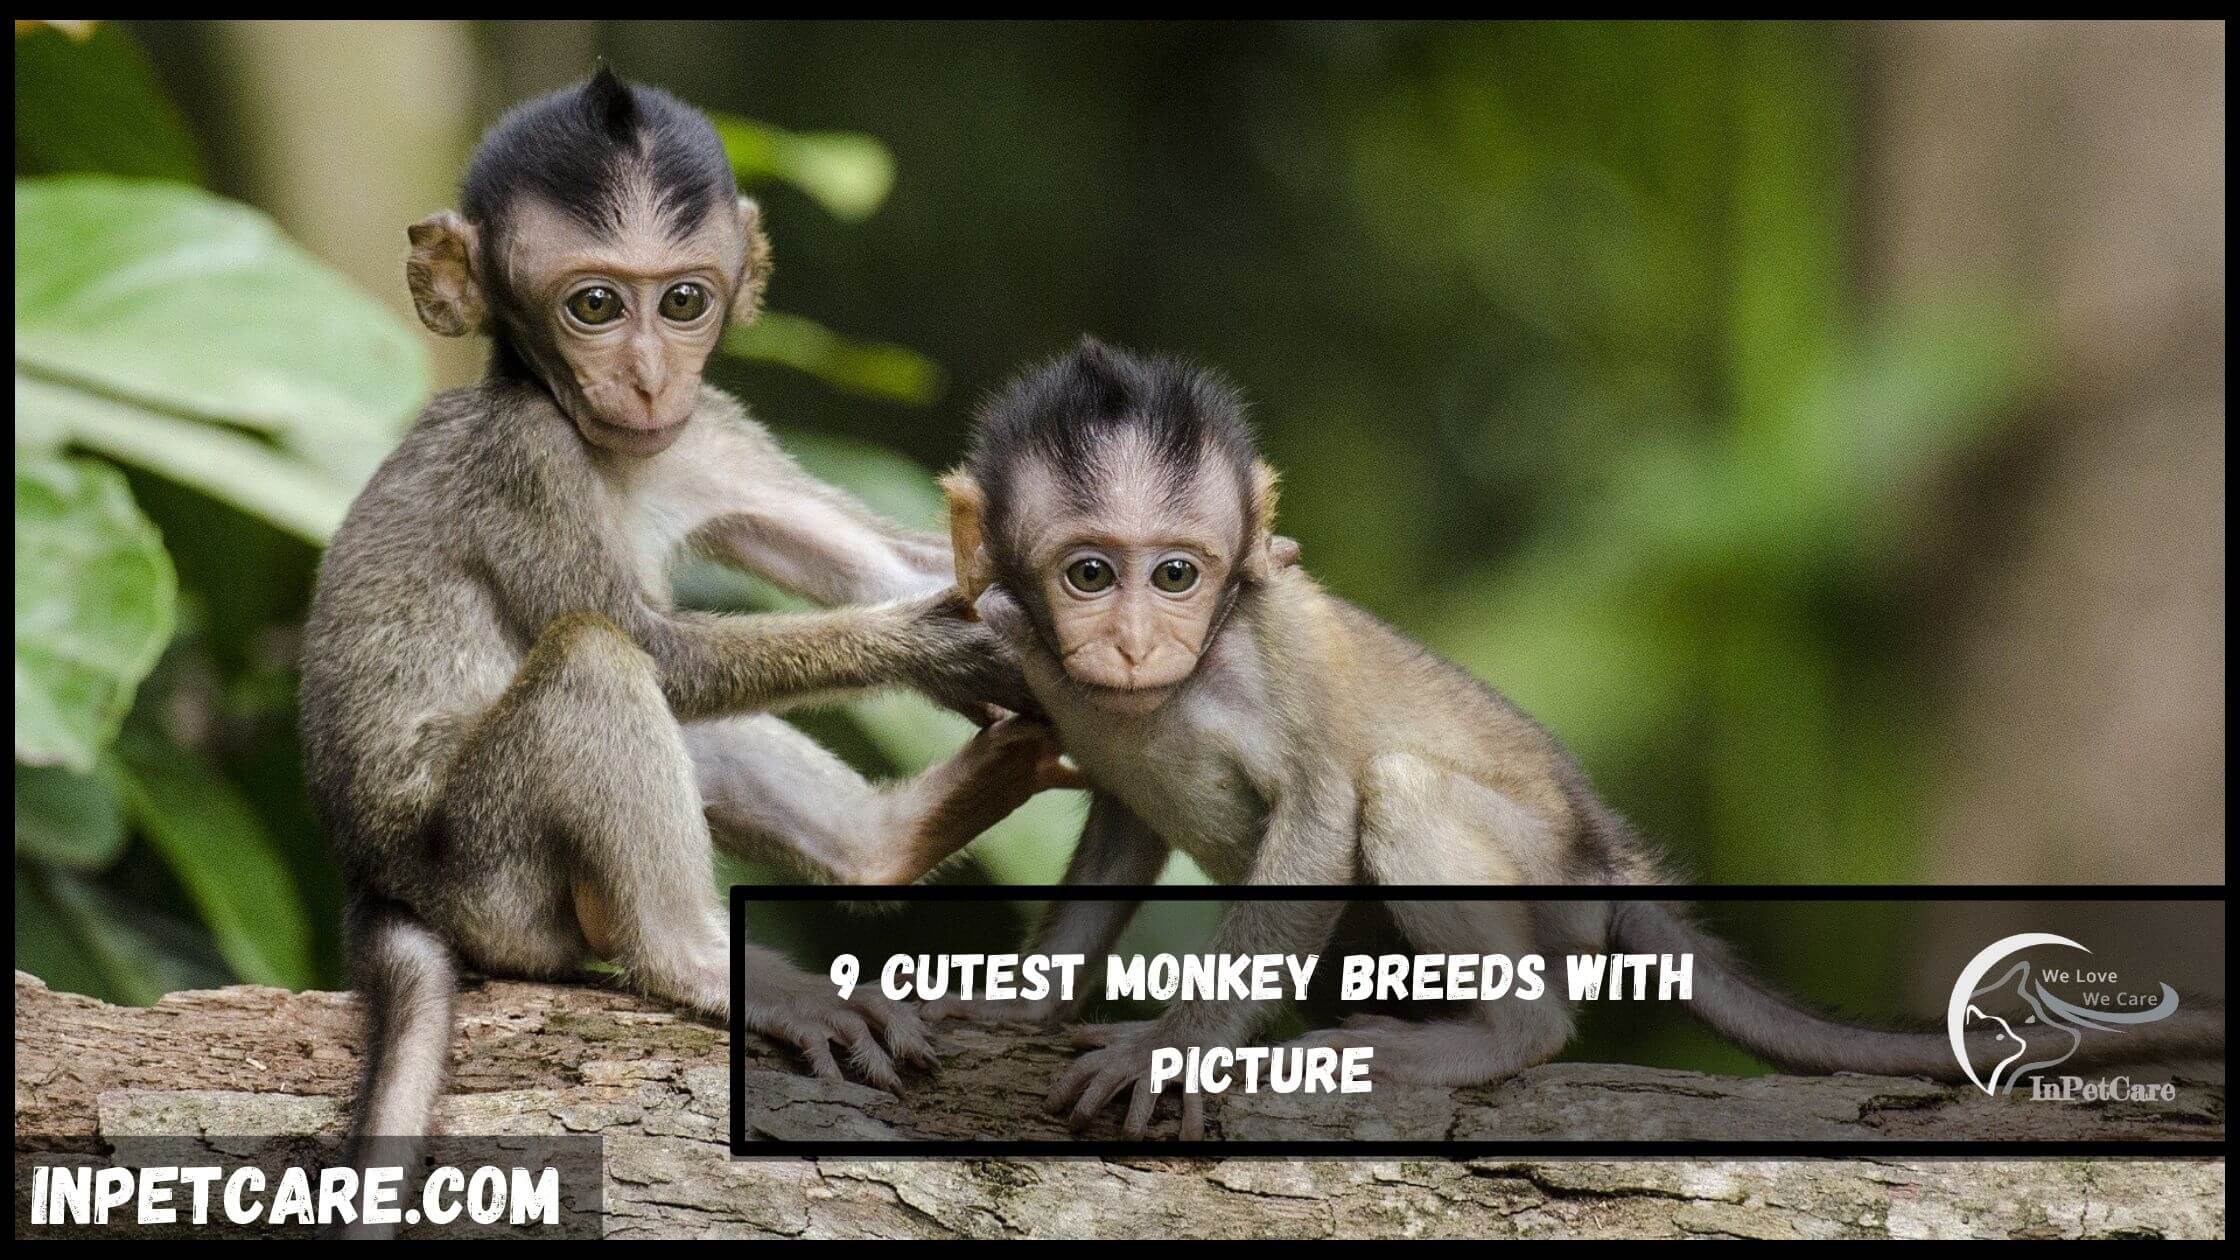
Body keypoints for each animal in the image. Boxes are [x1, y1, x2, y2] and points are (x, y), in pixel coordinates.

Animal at [298, 69, 1072, 1205]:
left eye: (681, 301)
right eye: (593, 305)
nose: (648, 377)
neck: (607, 448)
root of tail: (377, 883)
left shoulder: (706, 432)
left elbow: (879, 566)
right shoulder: (524, 458)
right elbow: (648, 645)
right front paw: (942, 649)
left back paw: (884, 845)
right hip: (488, 876)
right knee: (595, 661)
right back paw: (701, 961)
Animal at [929, 338, 2224, 1139]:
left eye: (1176, 575)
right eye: (1090, 576)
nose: (1135, 643)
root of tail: (1606, 852)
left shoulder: (1268, 645)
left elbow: (1321, 808)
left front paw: (1178, 1046)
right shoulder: (1032, 650)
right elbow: (1117, 823)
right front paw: (1021, 1005)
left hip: (1543, 870)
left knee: (1400, 794)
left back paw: (1501, 1032)